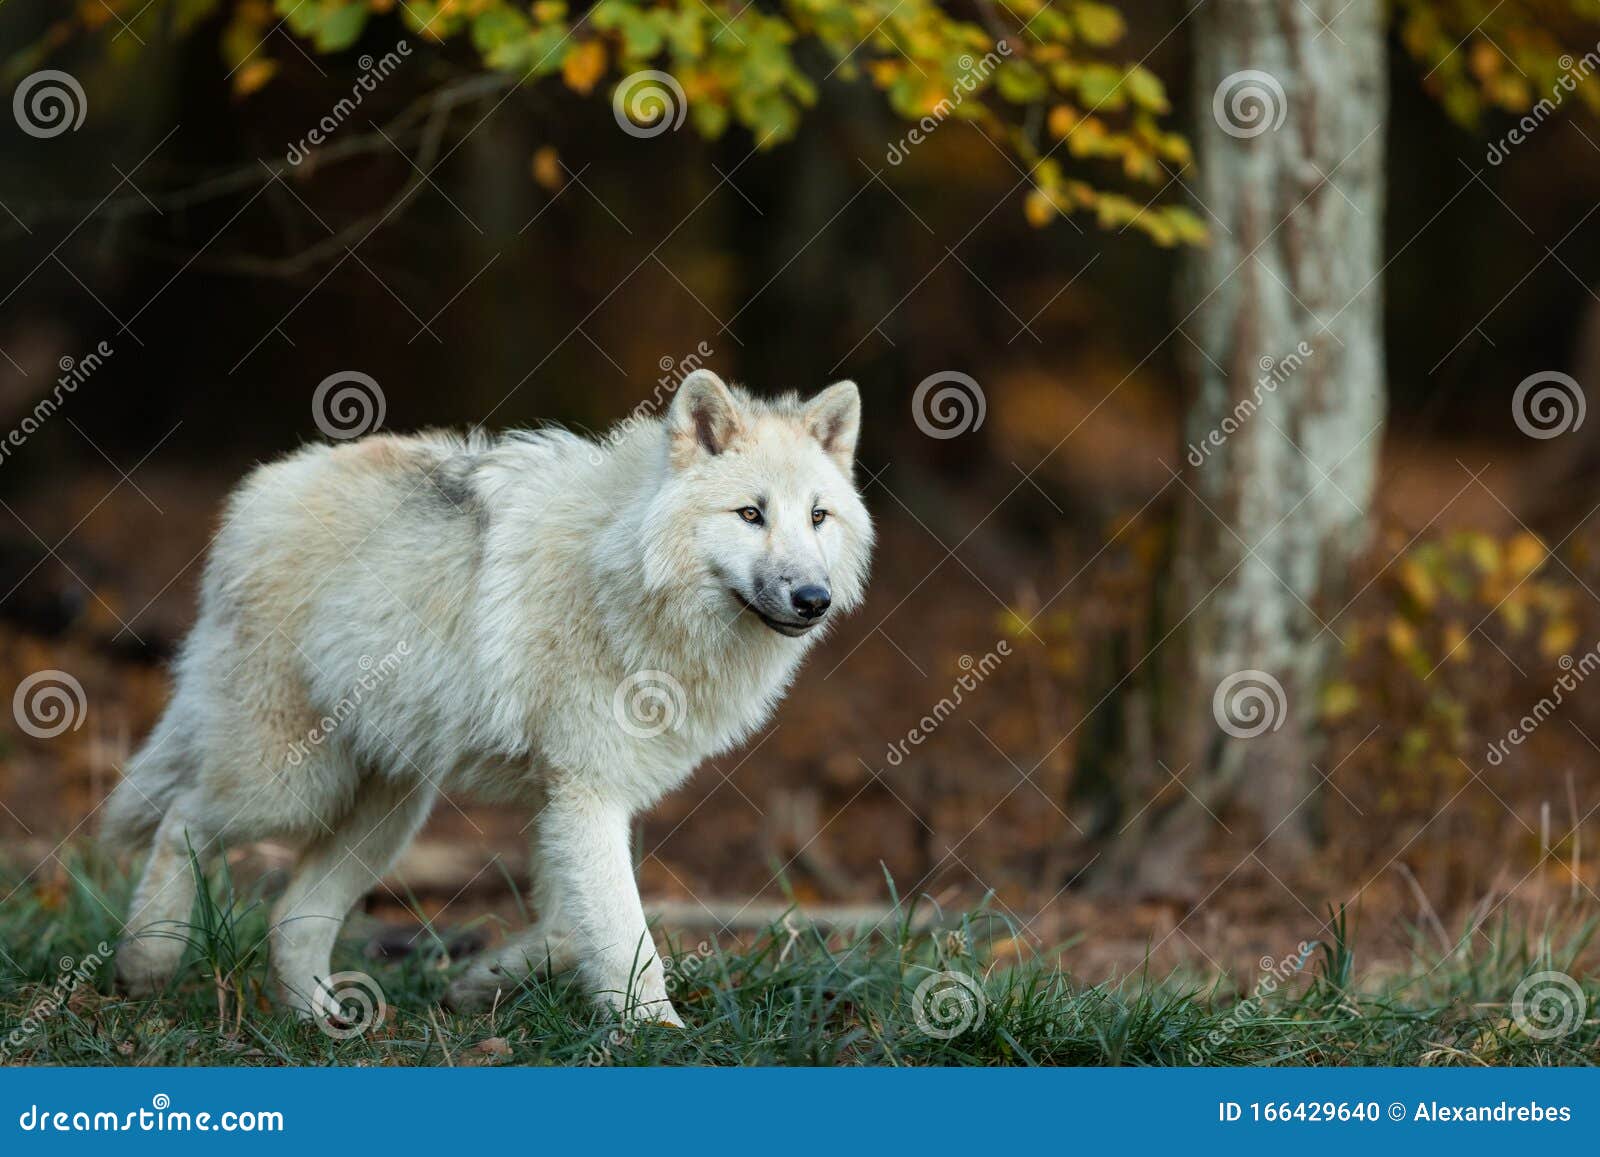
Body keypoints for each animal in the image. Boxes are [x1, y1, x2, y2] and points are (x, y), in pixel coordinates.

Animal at [100, 371, 872, 1027]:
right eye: (750, 514)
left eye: (818, 517)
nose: (813, 598)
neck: (621, 572)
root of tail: (262, 490)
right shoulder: (587, 794)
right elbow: (624, 934)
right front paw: (660, 1037)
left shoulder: (570, 801)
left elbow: (573, 928)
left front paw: (483, 981)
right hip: (289, 787)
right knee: (181, 820)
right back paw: (145, 963)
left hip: (388, 814)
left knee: (291, 913)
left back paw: (322, 1022)